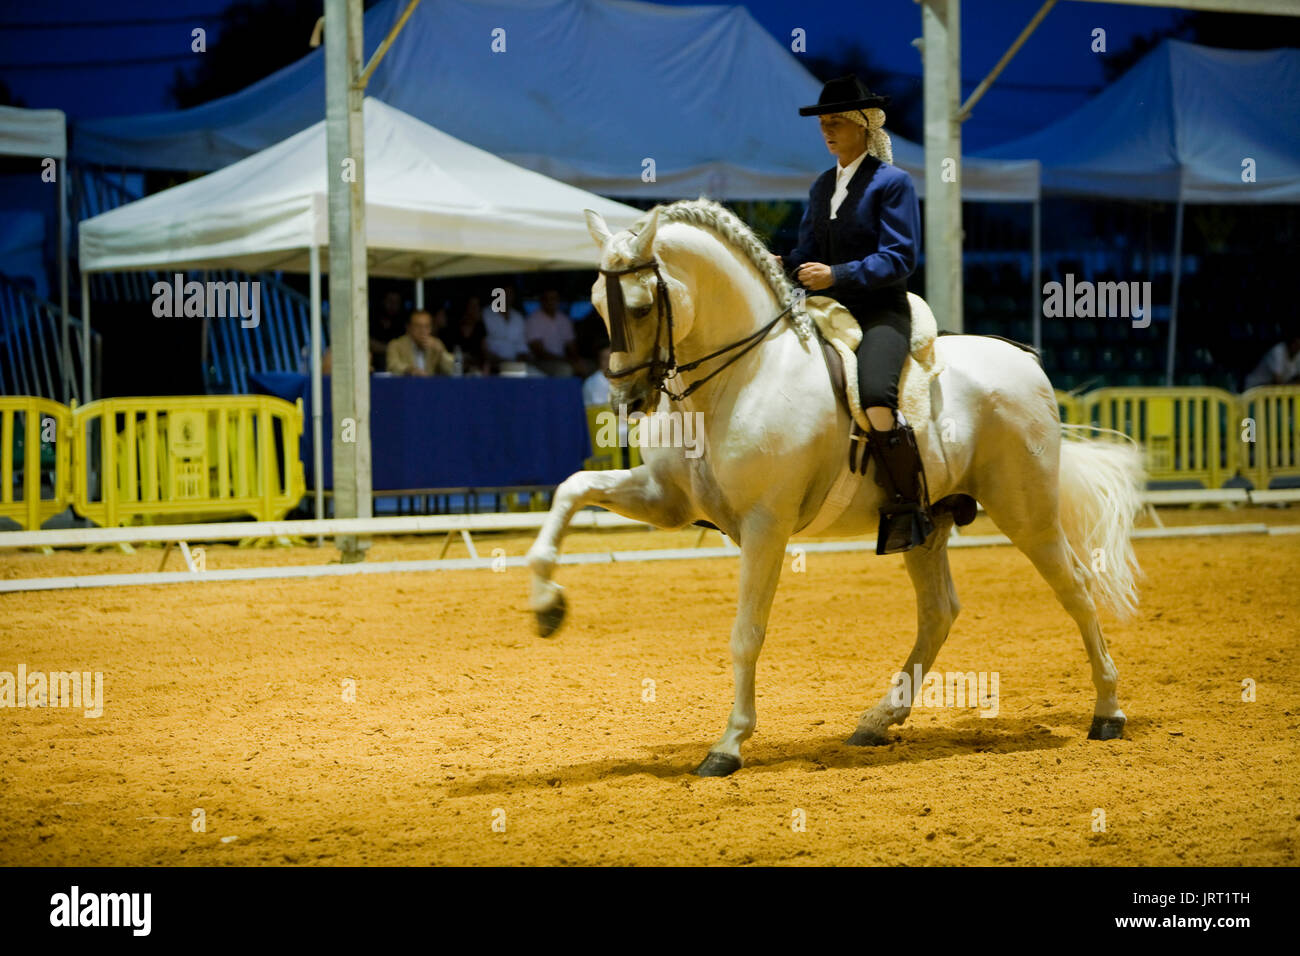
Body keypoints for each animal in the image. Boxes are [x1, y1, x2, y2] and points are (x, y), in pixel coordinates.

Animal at [526, 198, 1144, 777]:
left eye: (640, 306)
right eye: (596, 304)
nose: (626, 403)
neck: (739, 377)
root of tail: (1025, 360)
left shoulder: (765, 525)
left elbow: (746, 632)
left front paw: (728, 746)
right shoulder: (666, 498)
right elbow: (571, 489)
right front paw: (547, 607)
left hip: (1025, 510)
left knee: (1076, 590)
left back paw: (1108, 713)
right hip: (925, 523)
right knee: (939, 612)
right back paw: (877, 720)